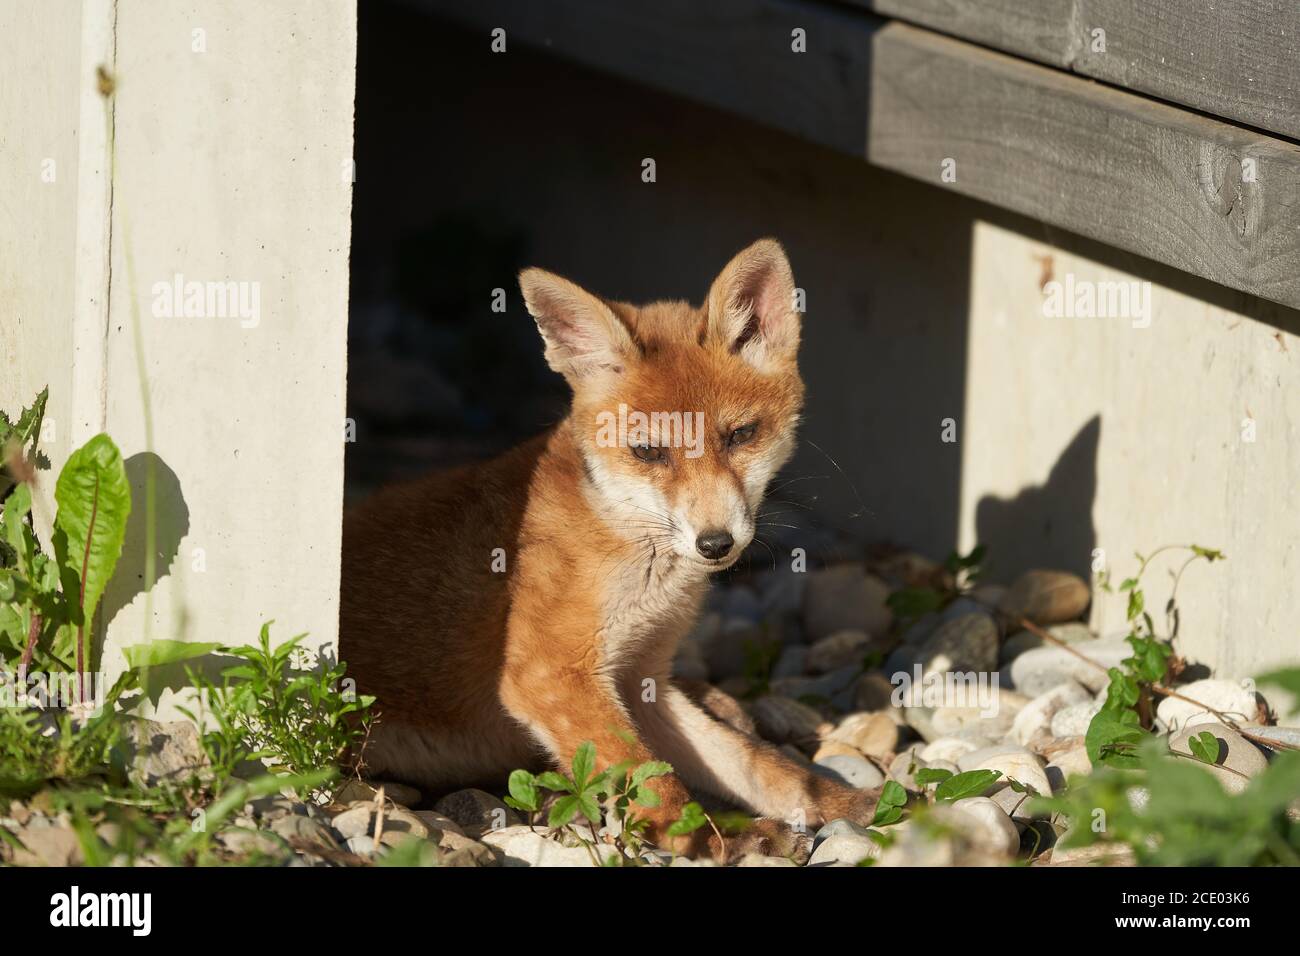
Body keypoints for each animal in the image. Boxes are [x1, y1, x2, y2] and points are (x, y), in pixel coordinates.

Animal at [339, 239, 881, 860]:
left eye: (740, 435)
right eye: (648, 451)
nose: (715, 543)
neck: (643, 578)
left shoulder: (642, 680)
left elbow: (753, 765)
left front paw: (840, 803)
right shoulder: (551, 674)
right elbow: (652, 779)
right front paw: (715, 838)